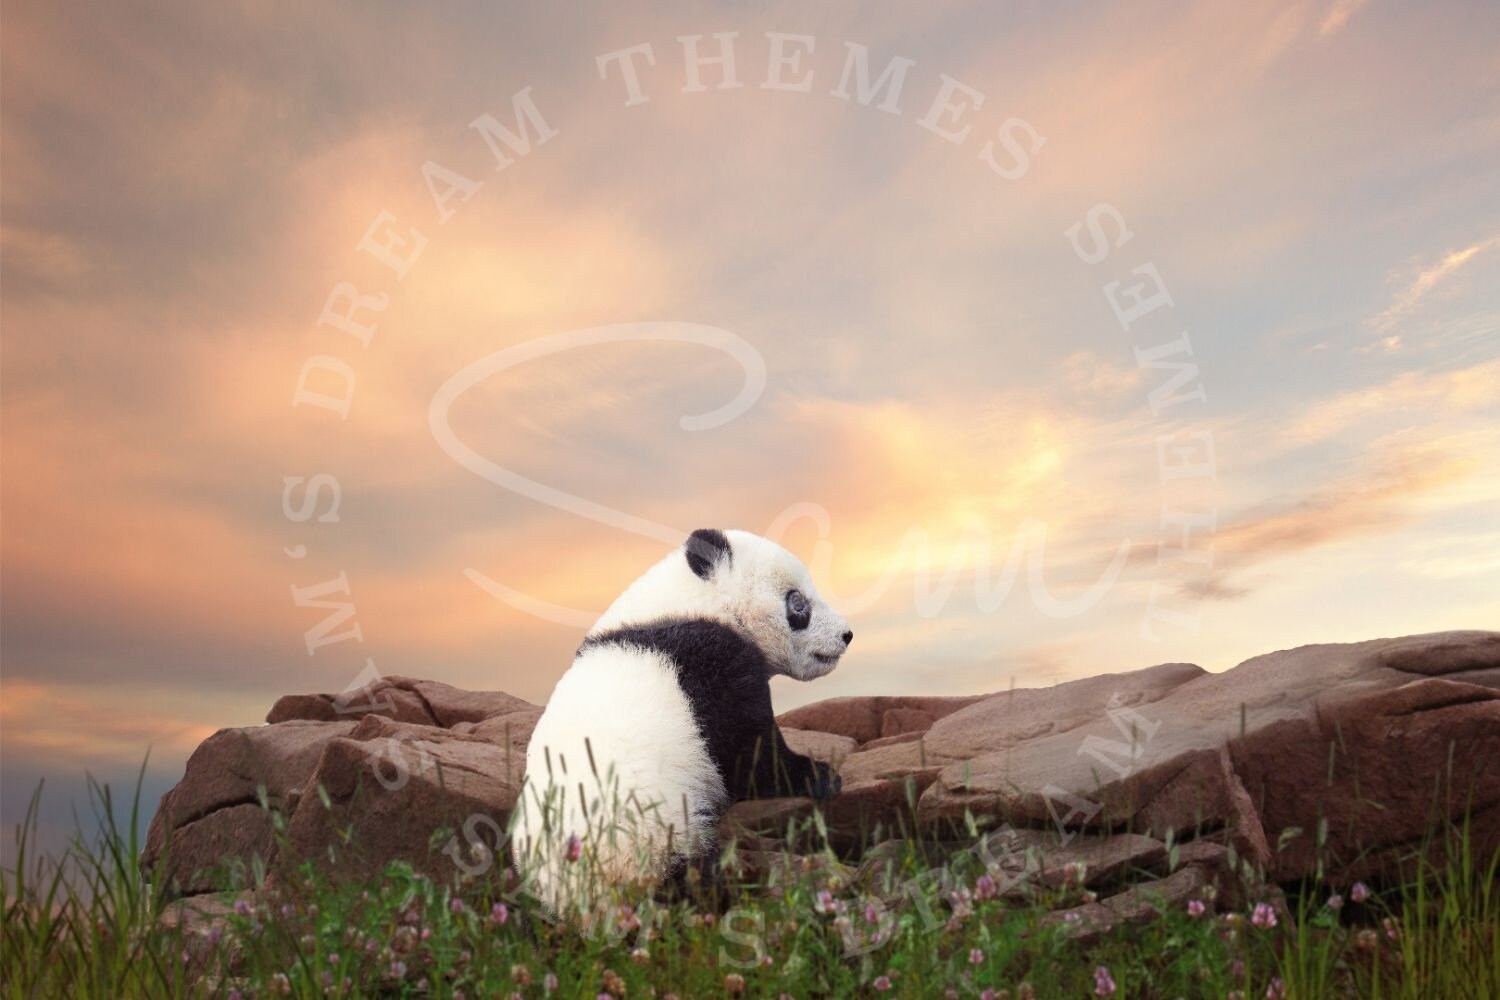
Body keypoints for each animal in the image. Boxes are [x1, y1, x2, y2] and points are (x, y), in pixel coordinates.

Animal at [511, 528, 852, 915]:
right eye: (798, 603)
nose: (846, 635)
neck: (691, 601)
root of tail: (579, 895)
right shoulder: (707, 663)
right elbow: (747, 753)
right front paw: (818, 775)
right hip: (656, 829)